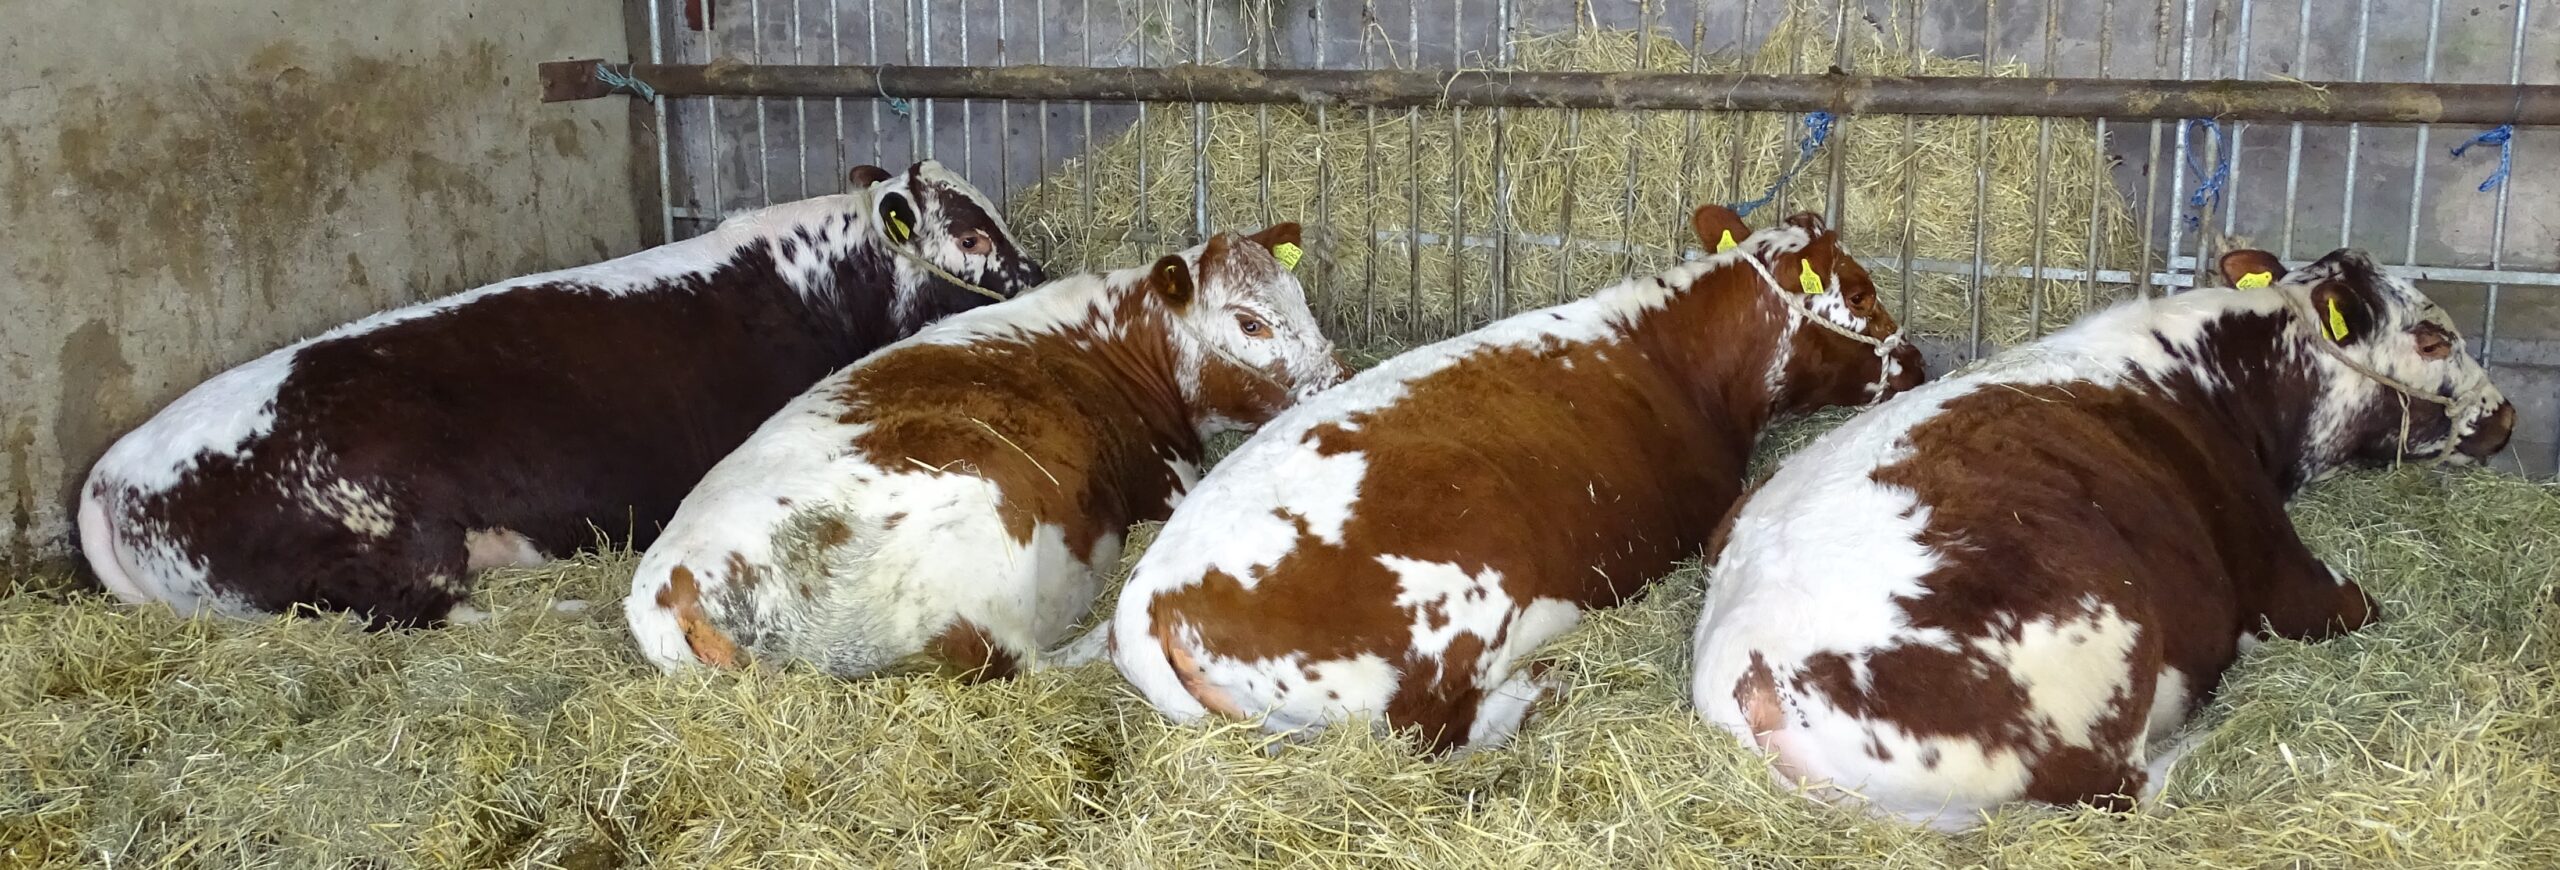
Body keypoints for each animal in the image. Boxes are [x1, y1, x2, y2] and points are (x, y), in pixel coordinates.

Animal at [77, 161, 1046, 628]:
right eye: (969, 233)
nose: (1039, 276)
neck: (810, 284)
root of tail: (109, 476)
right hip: (392, 538)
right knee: (424, 613)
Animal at [623, 223, 1345, 680]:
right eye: (1249, 322)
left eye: (1302, 299)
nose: (1338, 380)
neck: (1114, 336)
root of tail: (669, 585)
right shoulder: (1168, 479)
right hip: (980, 555)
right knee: (1036, 664)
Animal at [1108, 205, 1930, 752]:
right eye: (1859, 291)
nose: (1918, 360)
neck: (1672, 356)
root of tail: (1148, 600)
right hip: (1456, 600)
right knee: (1429, 731)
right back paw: (1540, 687)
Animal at [1688, 247, 2516, 831]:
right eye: (2432, 338)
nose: (2507, 416)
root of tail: (1752, 667)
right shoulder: (2289, 578)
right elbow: (2352, 607)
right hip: (2101, 653)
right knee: (2131, 785)